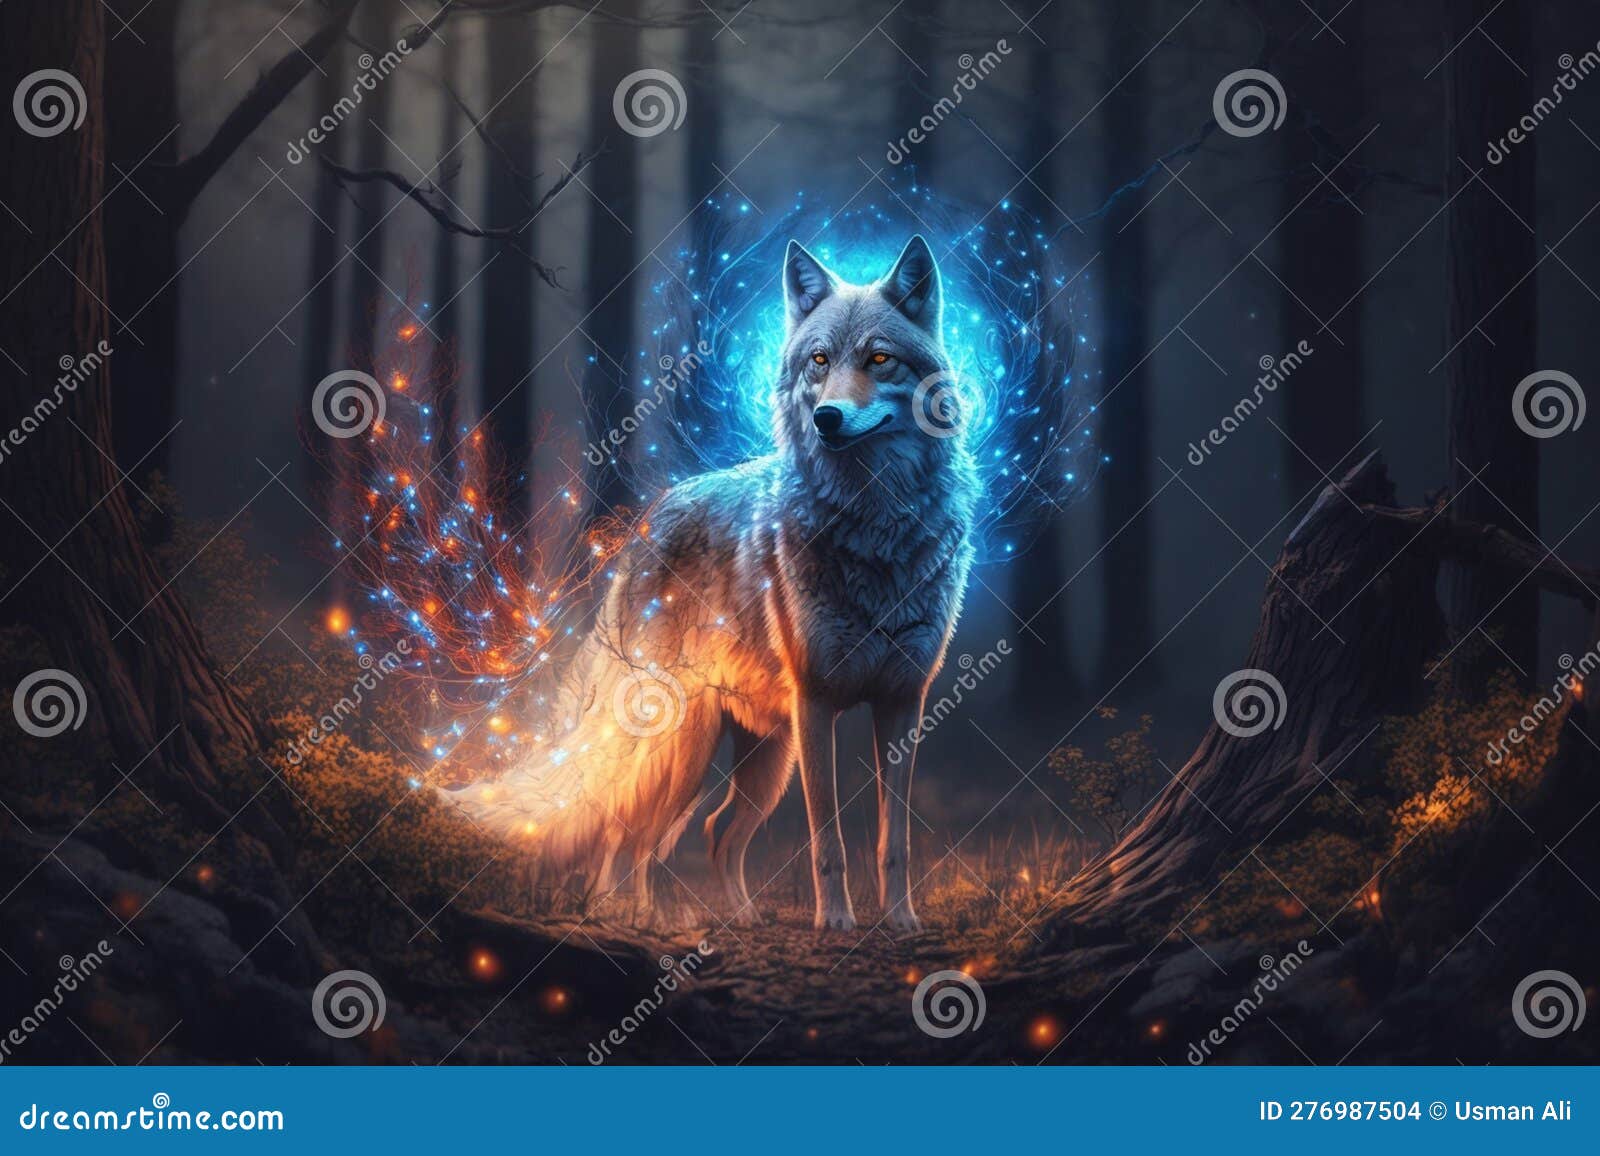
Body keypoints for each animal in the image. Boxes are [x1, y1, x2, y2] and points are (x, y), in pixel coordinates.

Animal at [443, 235, 980, 932]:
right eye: (819, 360)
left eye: (879, 358)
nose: (828, 418)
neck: (875, 527)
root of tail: (648, 522)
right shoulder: (817, 706)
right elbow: (828, 840)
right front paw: (835, 923)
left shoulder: (902, 704)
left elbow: (896, 839)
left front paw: (899, 923)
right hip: (683, 747)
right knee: (626, 834)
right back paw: (627, 918)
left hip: (759, 757)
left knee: (713, 833)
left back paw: (729, 918)